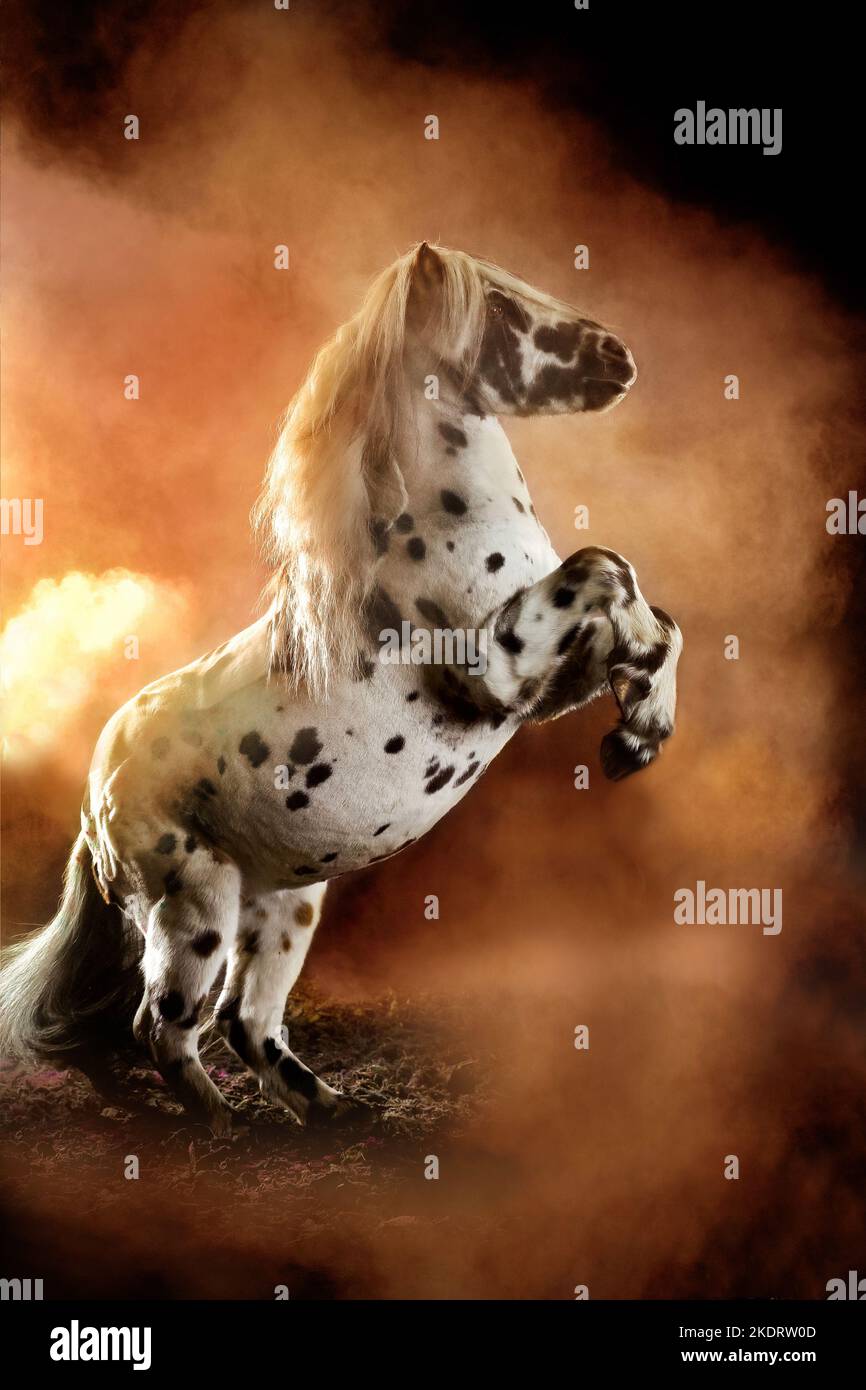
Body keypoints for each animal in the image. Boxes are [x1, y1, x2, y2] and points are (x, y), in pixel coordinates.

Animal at [0, 242, 682, 1132]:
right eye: (500, 306)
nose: (618, 356)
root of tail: (96, 802)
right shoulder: (501, 672)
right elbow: (608, 567)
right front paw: (636, 729)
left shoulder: (545, 684)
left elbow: (653, 618)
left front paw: (639, 728)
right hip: (193, 910)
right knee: (165, 1026)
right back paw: (222, 1131)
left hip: (284, 905)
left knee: (245, 1021)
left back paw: (331, 1110)